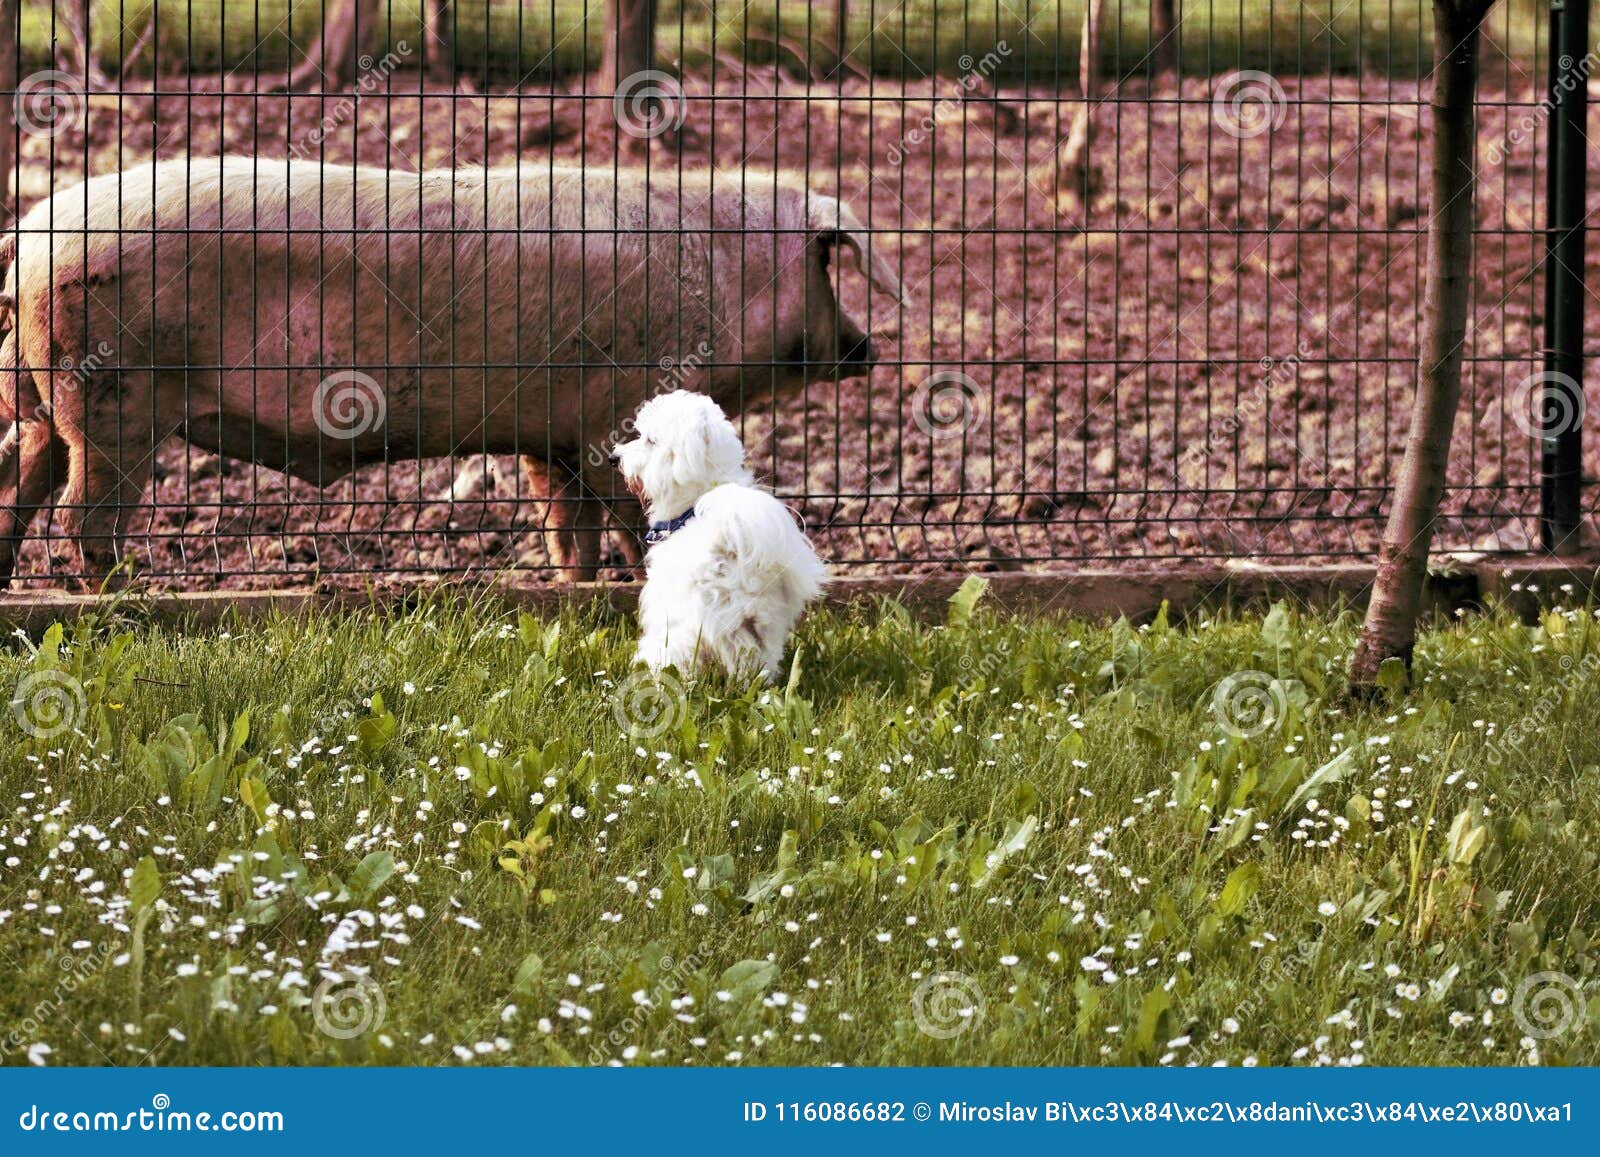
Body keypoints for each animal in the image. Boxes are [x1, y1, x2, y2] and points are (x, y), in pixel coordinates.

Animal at [0, 156, 906, 585]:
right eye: (829, 269)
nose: (868, 347)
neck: (719, 277)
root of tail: (33, 235)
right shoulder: (613, 418)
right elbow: (631, 515)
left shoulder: (552, 434)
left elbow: (567, 525)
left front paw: (573, 589)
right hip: (113, 401)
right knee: (82, 514)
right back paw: (127, 594)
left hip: (50, 401)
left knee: (19, 479)